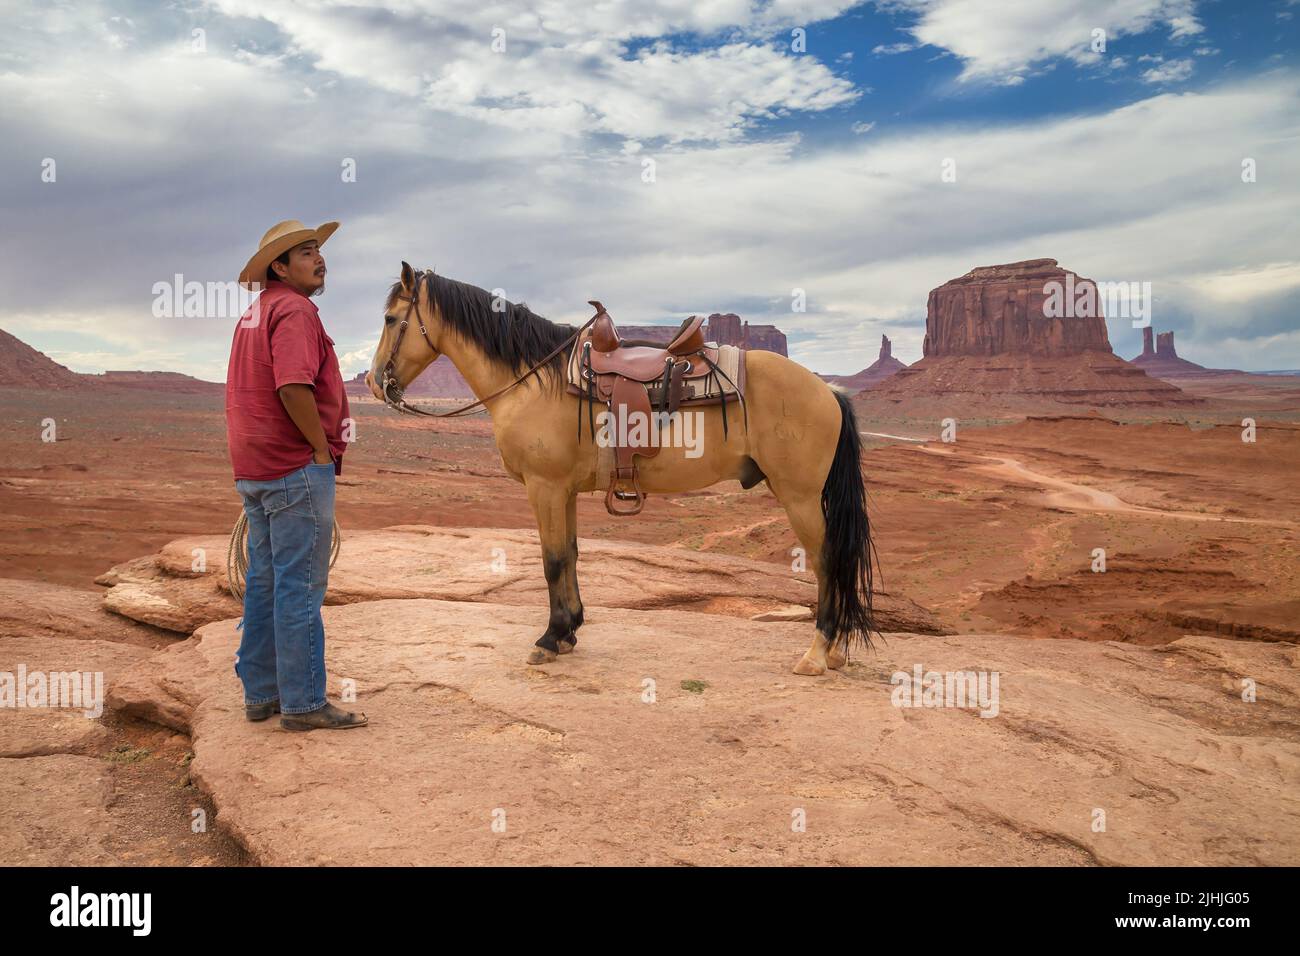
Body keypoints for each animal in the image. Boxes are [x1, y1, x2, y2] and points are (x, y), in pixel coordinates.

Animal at [361, 265, 878, 676]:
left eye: (390, 319)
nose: (372, 382)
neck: (534, 379)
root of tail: (829, 390)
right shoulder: (564, 490)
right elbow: (570, 554)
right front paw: (569, 631)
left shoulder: (545, 487)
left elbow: (551, 561)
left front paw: (548, 639)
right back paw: (836, 652)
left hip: (799, 495)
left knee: (827, 560)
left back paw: (817, 653)